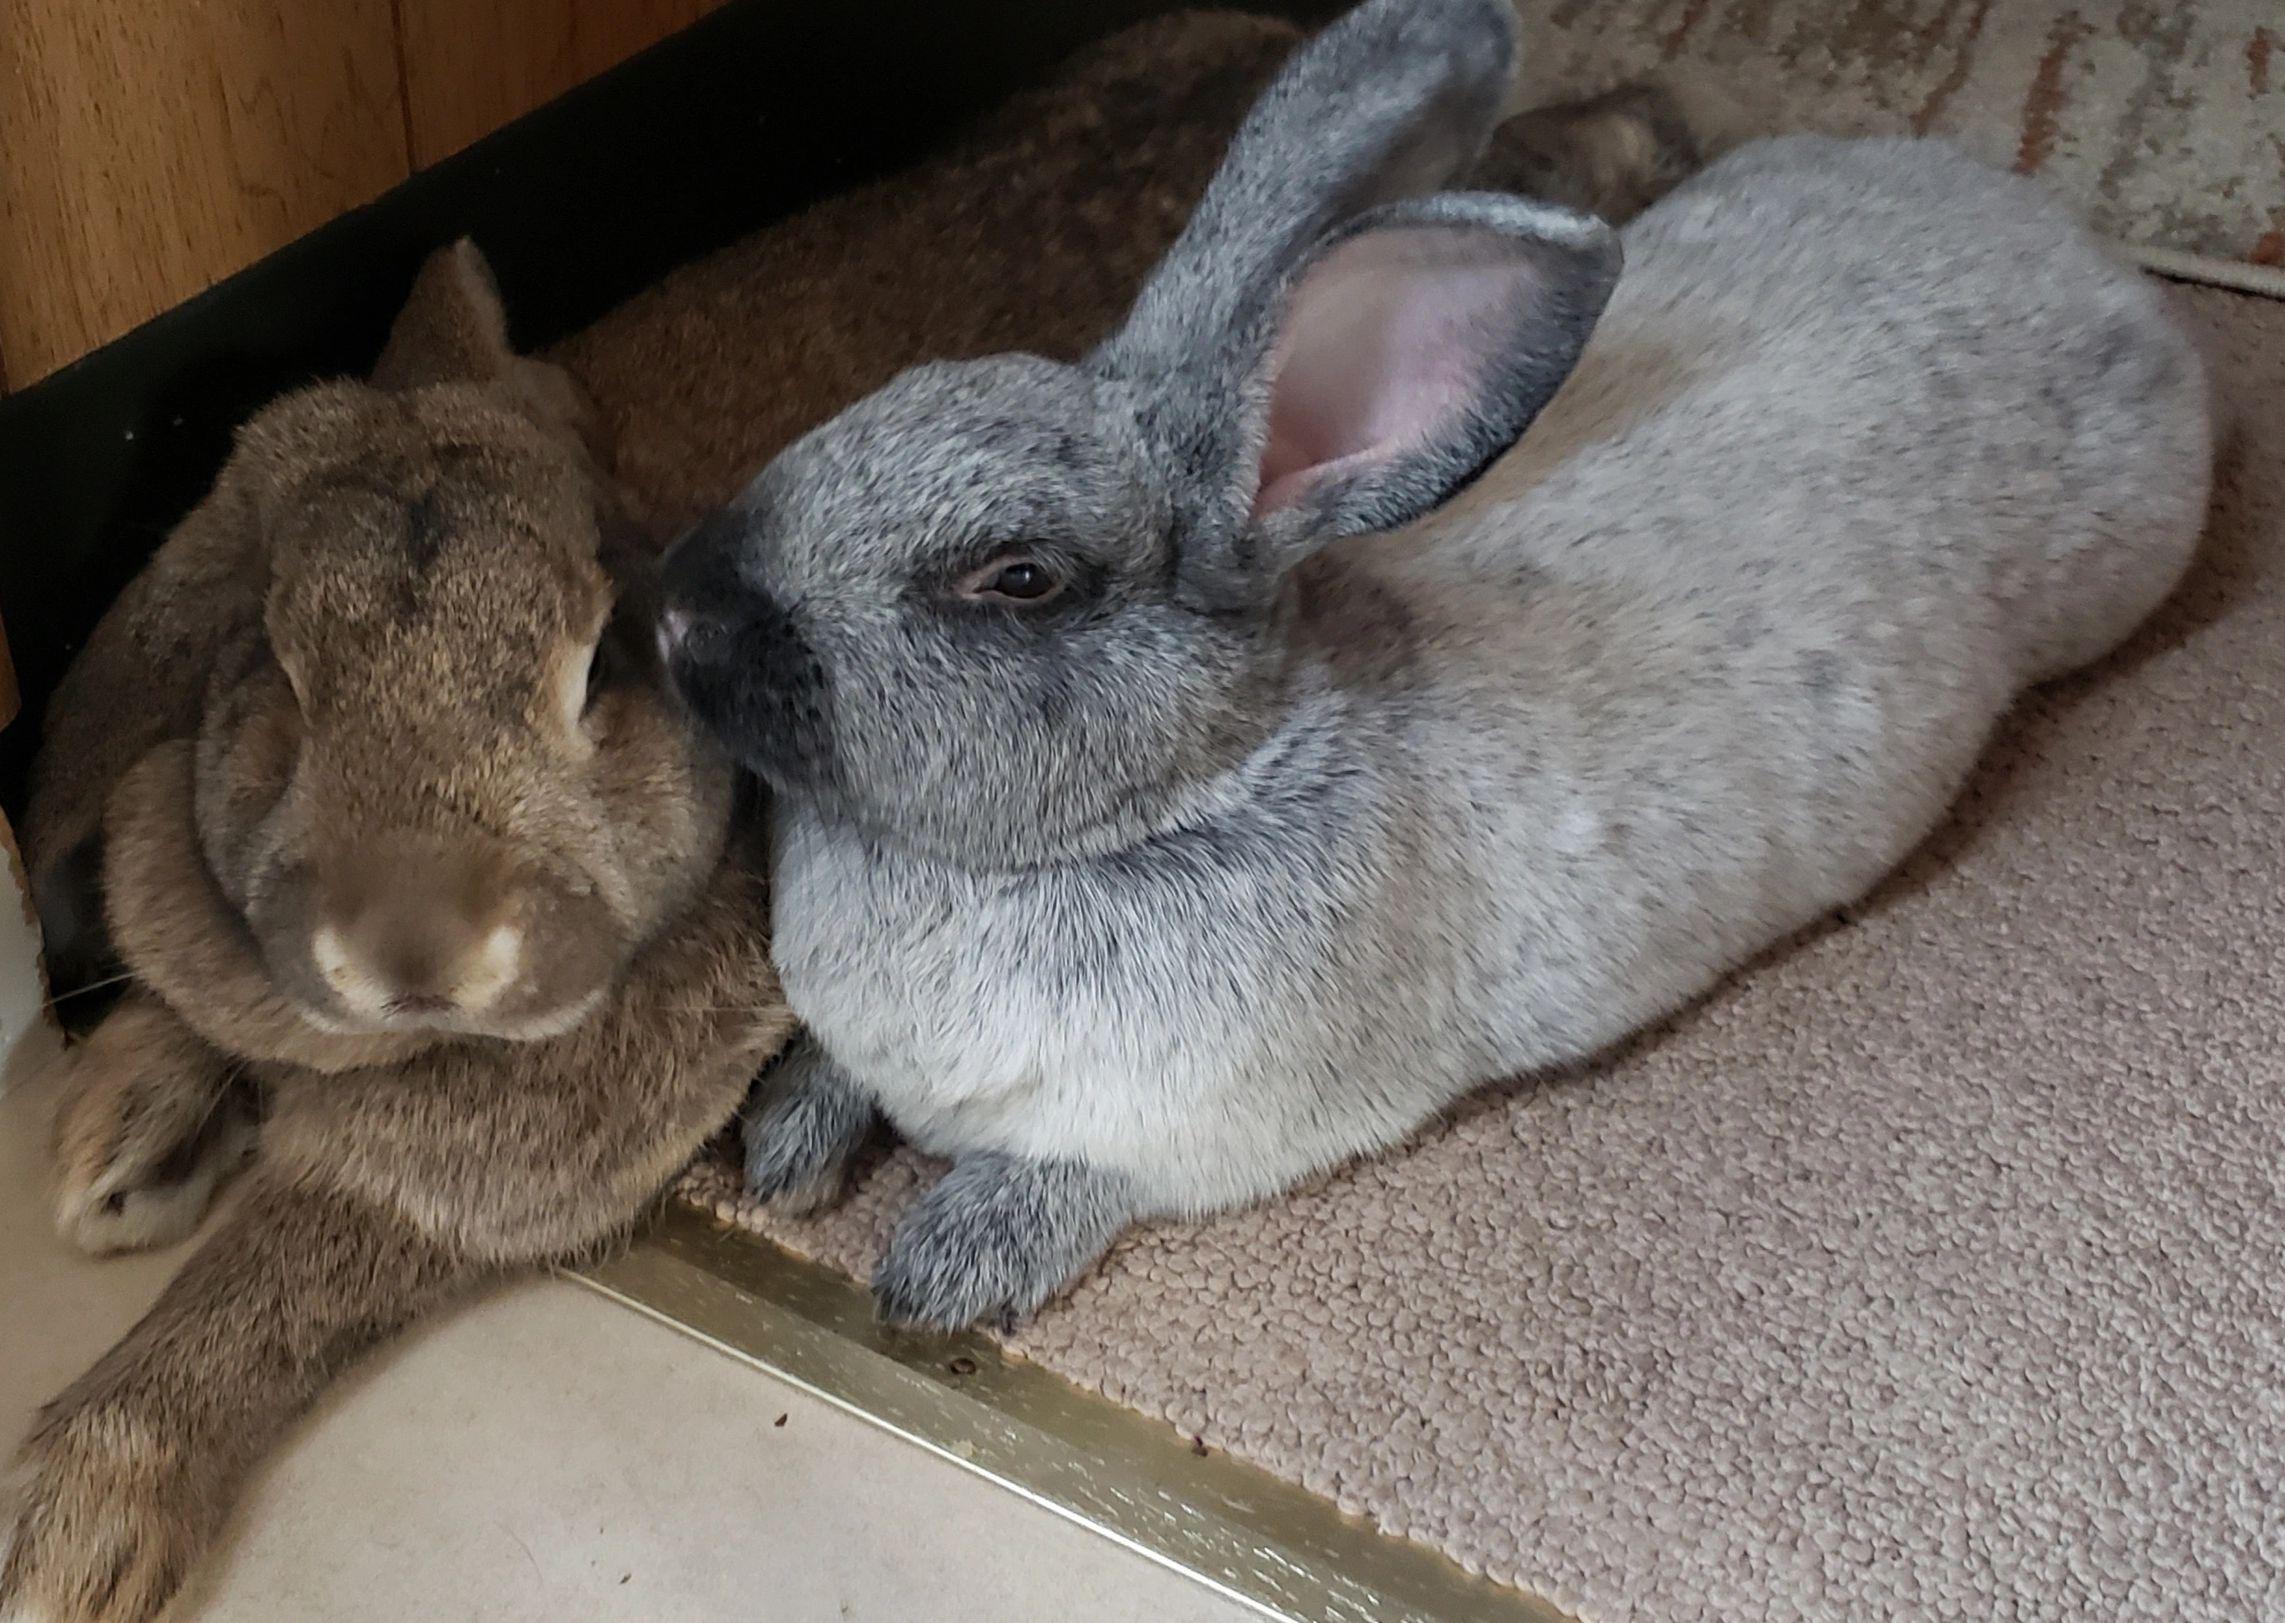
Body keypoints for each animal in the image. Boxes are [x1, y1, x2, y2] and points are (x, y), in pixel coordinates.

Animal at [0, 242, 793, 1623]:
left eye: (602, 666)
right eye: (270, 668)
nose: (416, 953)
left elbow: (281, 1264)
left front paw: (70, 1547)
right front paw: (121, 1134)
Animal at [657, 0, 2214, 1334]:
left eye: (1018, 578)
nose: (676, 614)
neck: (1177, 793)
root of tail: (2073, 250)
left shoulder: (1192, 1133)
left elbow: (1066, 1180)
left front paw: (937, 1271)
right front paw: (782, 1148)